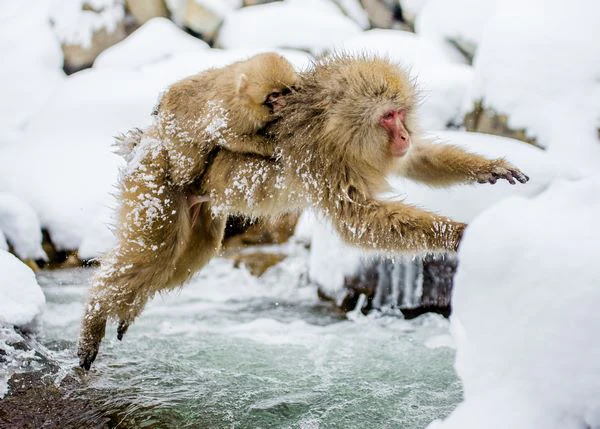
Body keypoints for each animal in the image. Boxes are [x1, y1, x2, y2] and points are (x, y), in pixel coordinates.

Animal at [77, 54, 528, 368]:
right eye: (387, 117)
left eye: (401, 115)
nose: (403, 134)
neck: (336, 131)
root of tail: (147, 140)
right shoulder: (322, 164)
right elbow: (357, 222)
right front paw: (459, 234)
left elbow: (417, 160)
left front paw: (489, 169)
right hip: (156, 181)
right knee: (150, 254)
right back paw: (96, 316)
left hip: (194, 205)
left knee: (186, 258)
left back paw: (126, 311)